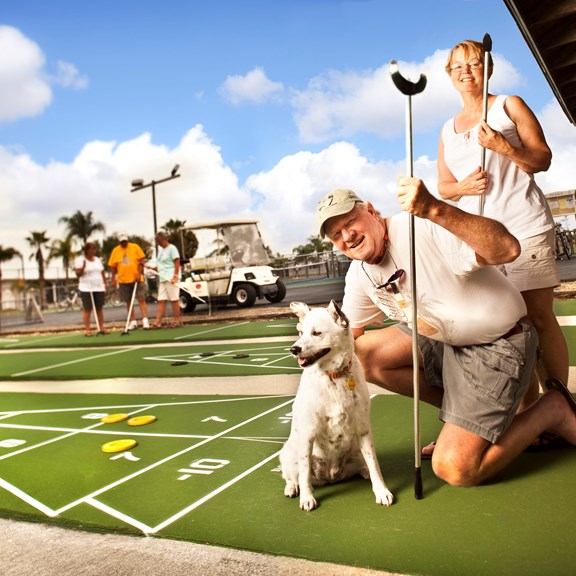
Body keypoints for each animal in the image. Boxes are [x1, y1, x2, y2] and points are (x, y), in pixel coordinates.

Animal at [278, 300, 392, 510]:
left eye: (317, 333)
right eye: (301, 332)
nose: (294, 349)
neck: (334, 376)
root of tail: (329, 478)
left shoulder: (363, 430)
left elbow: (374, 465)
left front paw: (382, 491)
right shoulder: (307, 434)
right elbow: (304, 473)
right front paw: (307, 498)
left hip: (356, 450)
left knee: (364, 466)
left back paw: (363, 472)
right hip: (288, 453)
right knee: (292, 476)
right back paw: (292, 488)